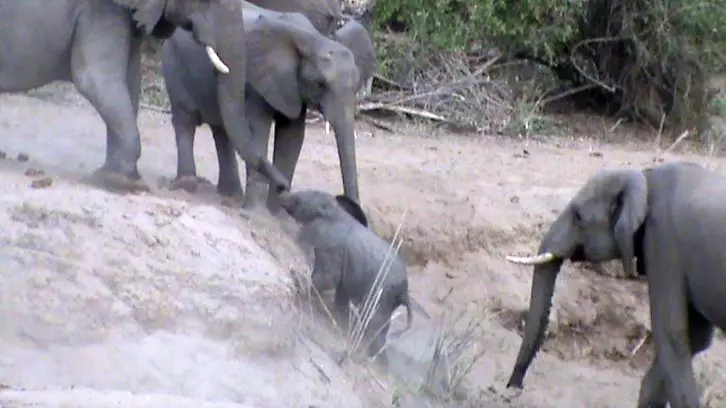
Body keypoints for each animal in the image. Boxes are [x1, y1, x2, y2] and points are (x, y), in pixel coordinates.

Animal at [0, 0, 290, 193]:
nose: (284, 186)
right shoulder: (99, 9)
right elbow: (97, 78)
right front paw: (124, 183)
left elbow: (130, 83)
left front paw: (118, 176)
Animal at [280, 188, 416, 364]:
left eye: (297, 200)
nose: (282, 193)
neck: (334, 211)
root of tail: (405, 291)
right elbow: (340, 291)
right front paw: (340, 321)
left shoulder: (331, 244)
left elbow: (328, 277)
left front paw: (299, 283)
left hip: (383, 296)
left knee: (376, 326)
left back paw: (374, 361)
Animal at [506, 162, 726, 408]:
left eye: (579, 216)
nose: (514, 387)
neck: (645, 178)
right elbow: (695, 338)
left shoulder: (663, 243)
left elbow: (672, 334)